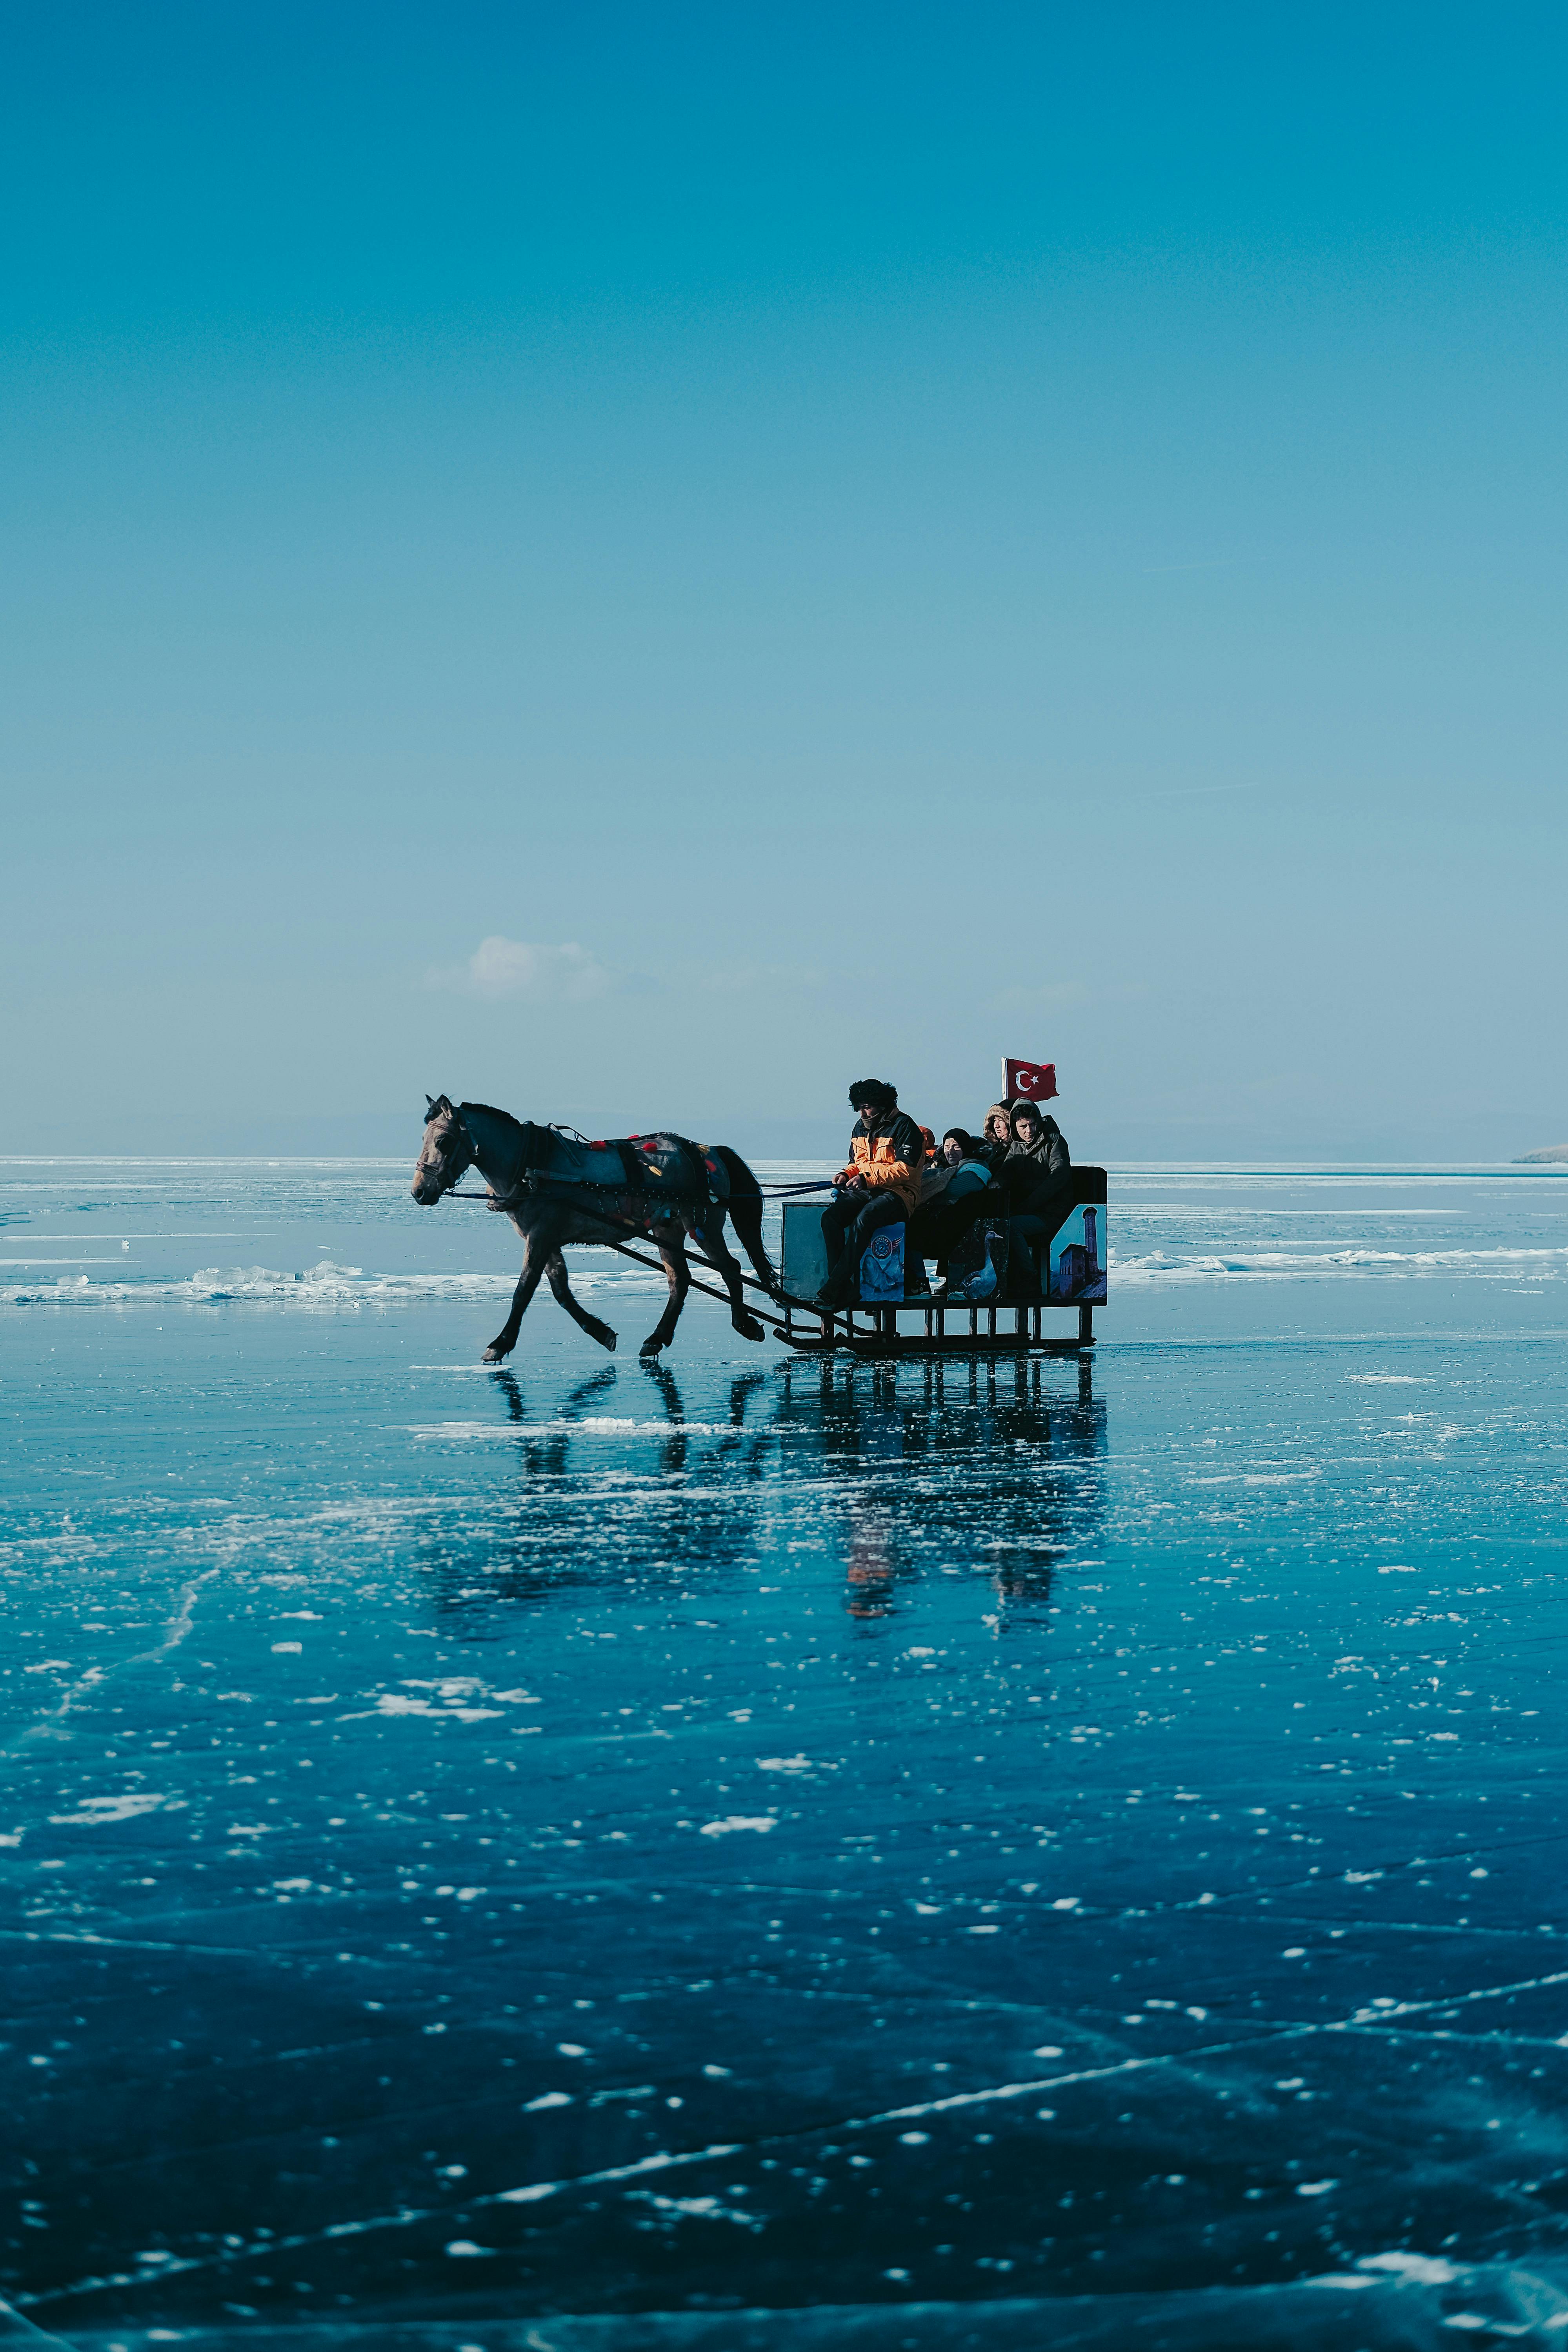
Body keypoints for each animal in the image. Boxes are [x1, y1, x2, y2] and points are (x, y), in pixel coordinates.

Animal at [410, 1096, 778, 1361]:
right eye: (424, 1138)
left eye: (443, 1141)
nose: (419, 1192)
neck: (530, 1164)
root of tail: (705, 1149)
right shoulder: (546, 1237)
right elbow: (560, 1289)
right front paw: (601, 1332)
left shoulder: (541, 1235)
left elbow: (524, 1290)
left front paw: (500, 1343)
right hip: (668, 1227)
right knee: (680, 1278)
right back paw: (657, 1339)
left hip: (702, 1222)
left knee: (730, 1268)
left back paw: (744, 1324)